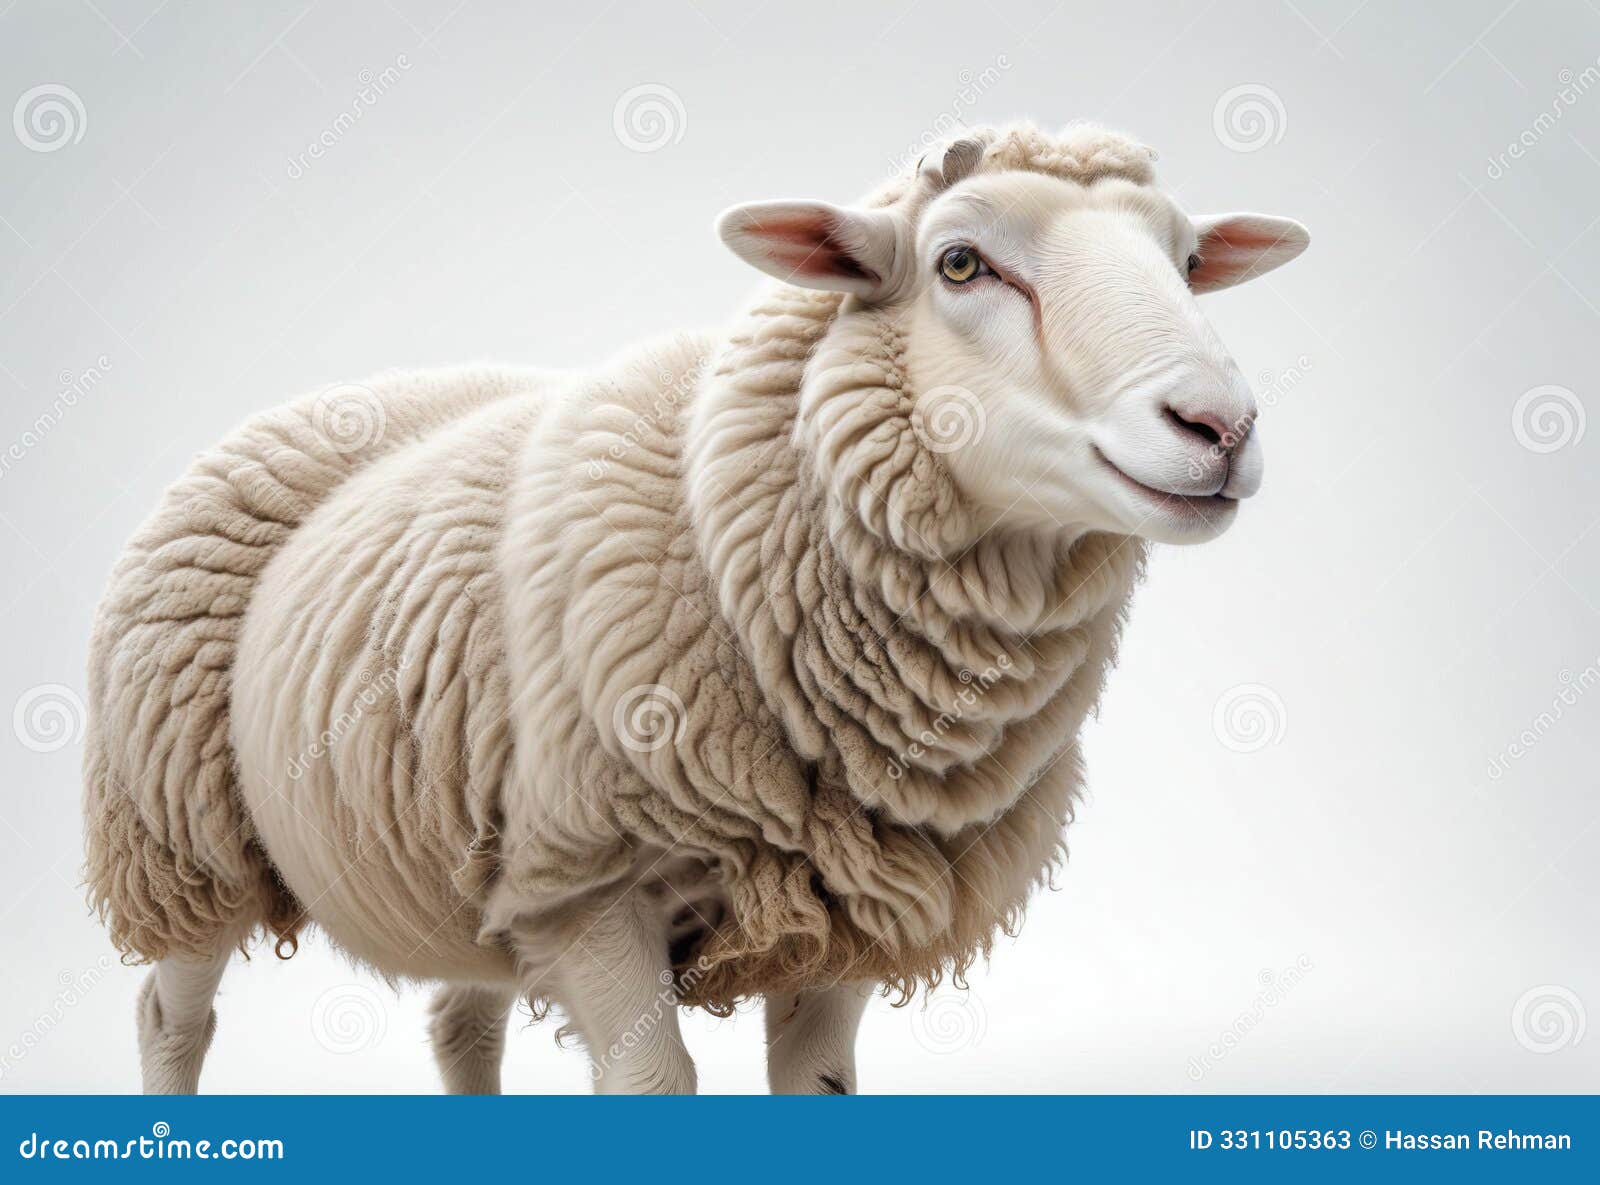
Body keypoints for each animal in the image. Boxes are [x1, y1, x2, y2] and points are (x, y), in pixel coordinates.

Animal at [83, 121, 1308, 1094]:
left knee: (459, 1022)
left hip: (461, 849)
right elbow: (653, 1084)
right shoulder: (583, 882)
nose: (1221, 428)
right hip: (181, 830)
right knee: (172, 1016)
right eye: (960, 261)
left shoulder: (842, 916)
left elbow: (818, 1092)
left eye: (1187, 260)